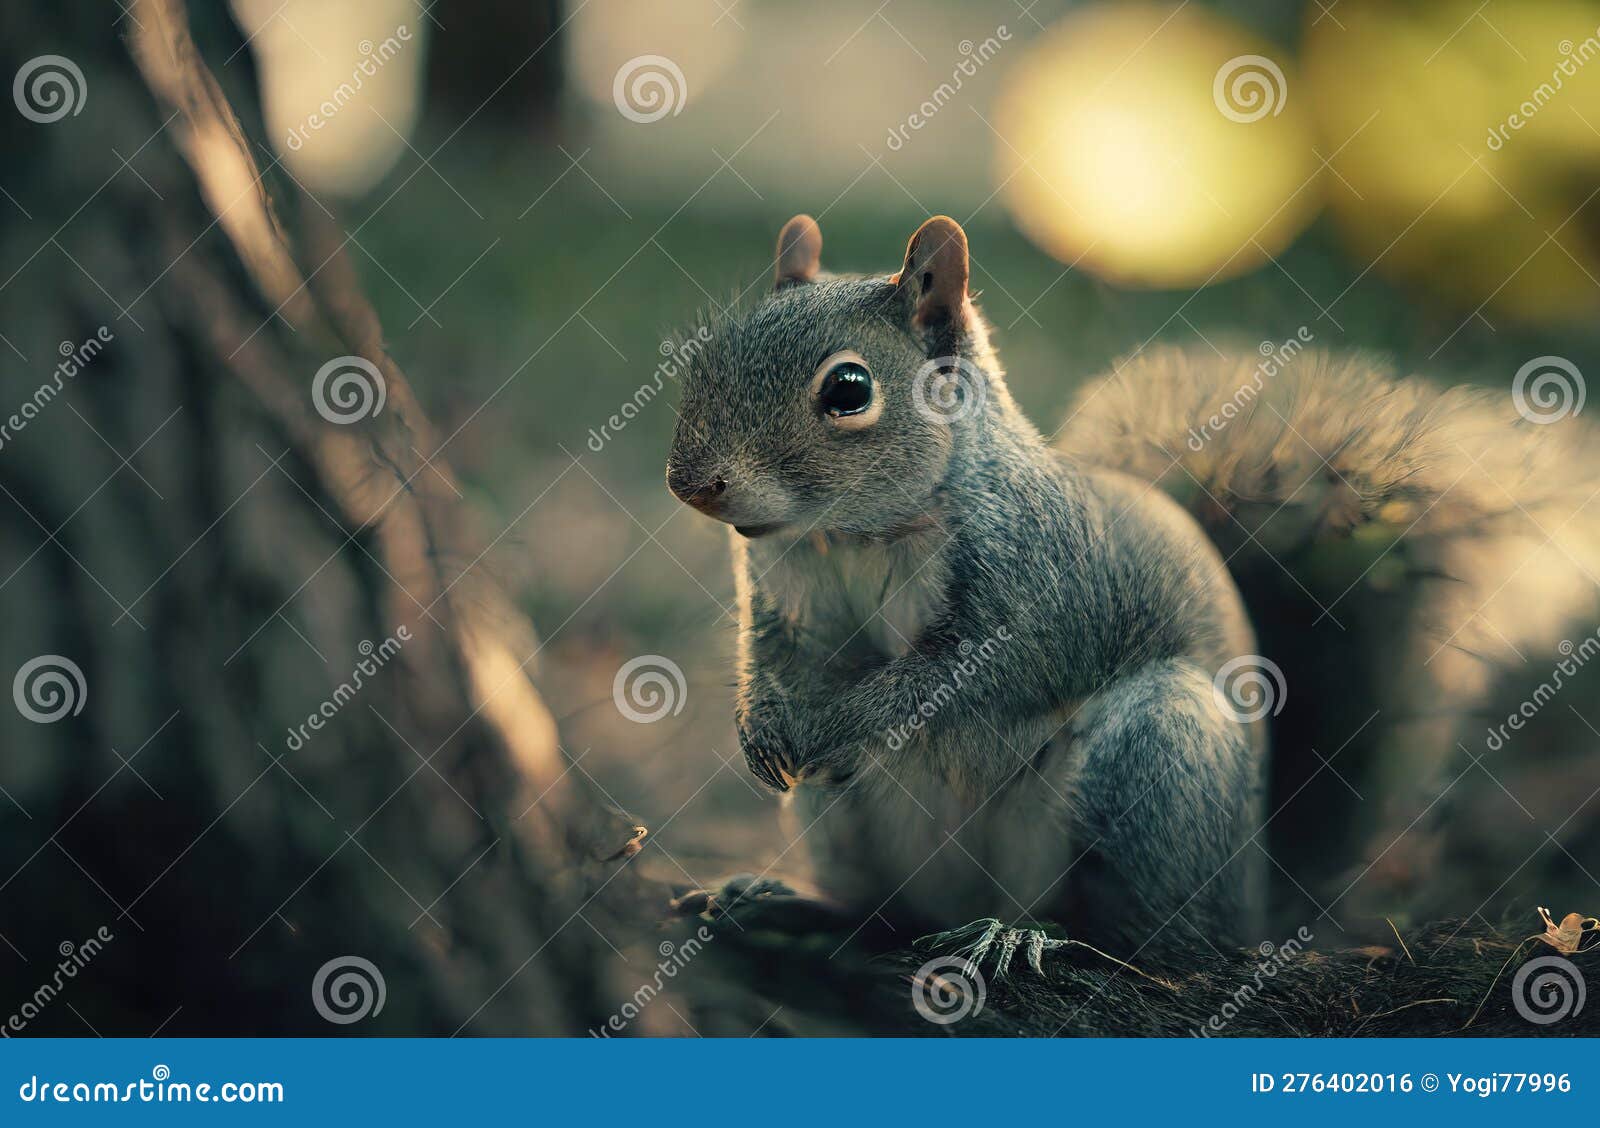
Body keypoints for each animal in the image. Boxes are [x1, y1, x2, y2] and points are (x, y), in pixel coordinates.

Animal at [665, 214, 1600, 968]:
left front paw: (837, 721)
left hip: (1159, 755)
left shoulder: (1039, 598)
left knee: (1141, 939)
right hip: (845, 823)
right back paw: (786, 904)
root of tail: (1253, 905)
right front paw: (762, 728)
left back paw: (1023, 935)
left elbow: (950, 682)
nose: (691, 485)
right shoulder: (783, 597)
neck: (852, 535)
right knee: (882, 916)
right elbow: (771, 653)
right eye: (704, 359)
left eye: (848, 391)